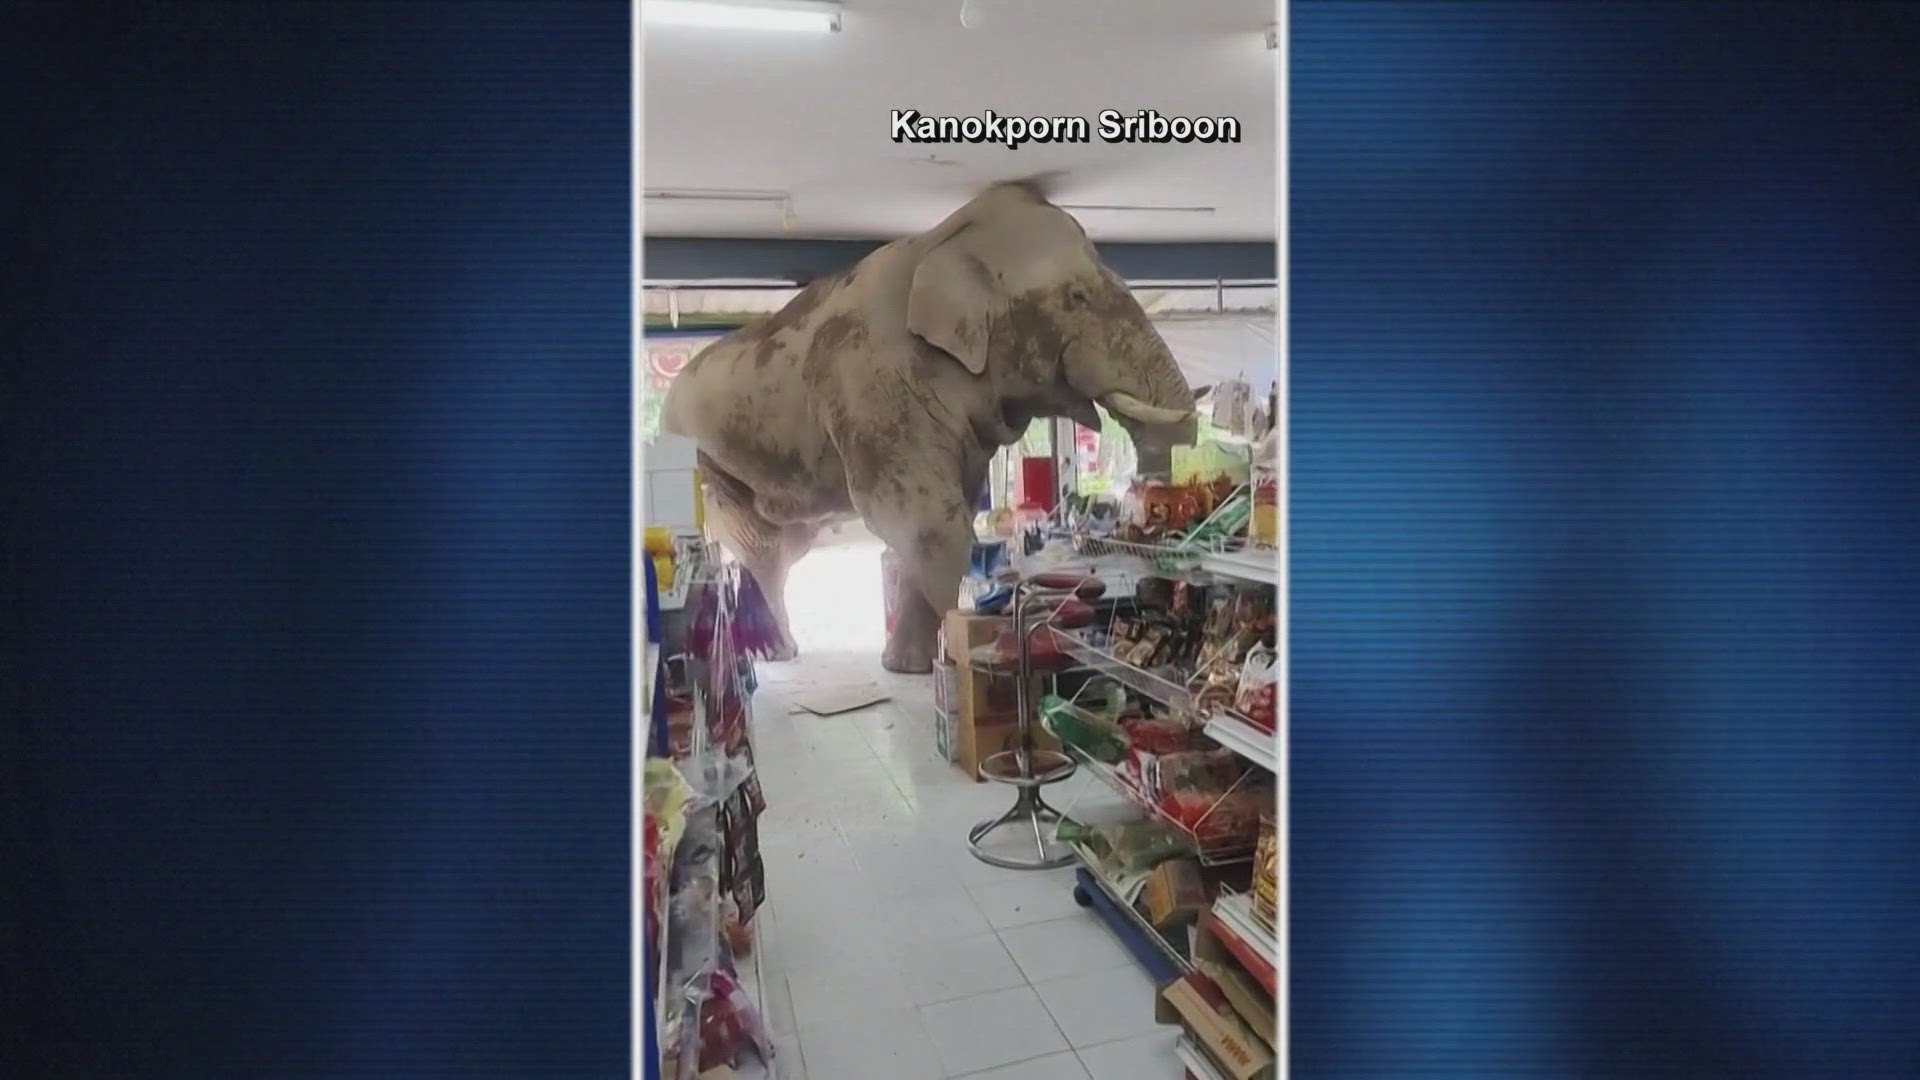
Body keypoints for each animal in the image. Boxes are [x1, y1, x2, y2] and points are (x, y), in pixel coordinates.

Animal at [661, 182, 1198, 674]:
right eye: (1076, 297)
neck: (940, 240)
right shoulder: (872, 380)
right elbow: (926, 518)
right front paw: (956, 658)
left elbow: (946, 510)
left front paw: (909, 665)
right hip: (708, 461)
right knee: (763, 546)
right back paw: (775, 652)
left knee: (784, 544)